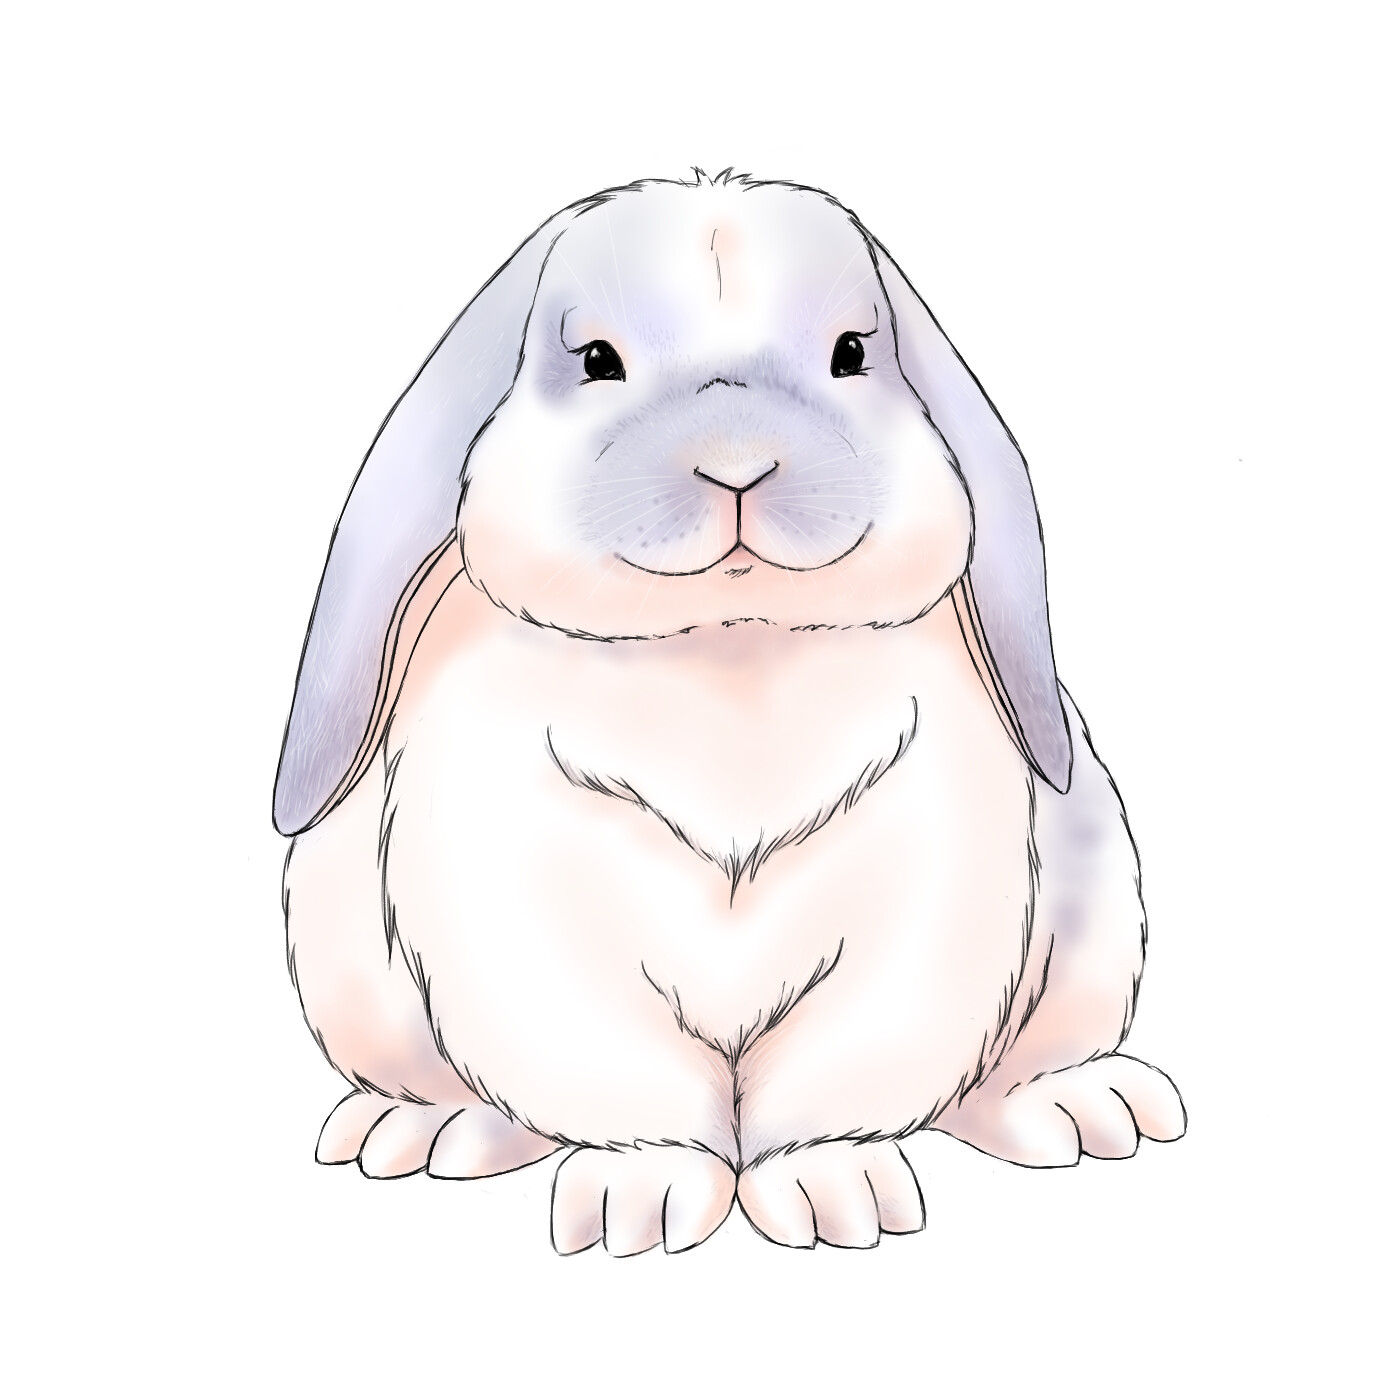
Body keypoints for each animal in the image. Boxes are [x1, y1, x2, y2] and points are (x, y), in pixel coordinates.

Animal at [275, 169, 1186, 1256]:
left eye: (852, 353)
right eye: (595, 361)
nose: (739, 461)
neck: (729, 653)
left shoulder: (927, 901)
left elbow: (848, 1066)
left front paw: (835, 1196)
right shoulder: (521, 917)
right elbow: (613, 1071)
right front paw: (641, 1200)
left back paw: (1085, 1111)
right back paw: (424, 1131)